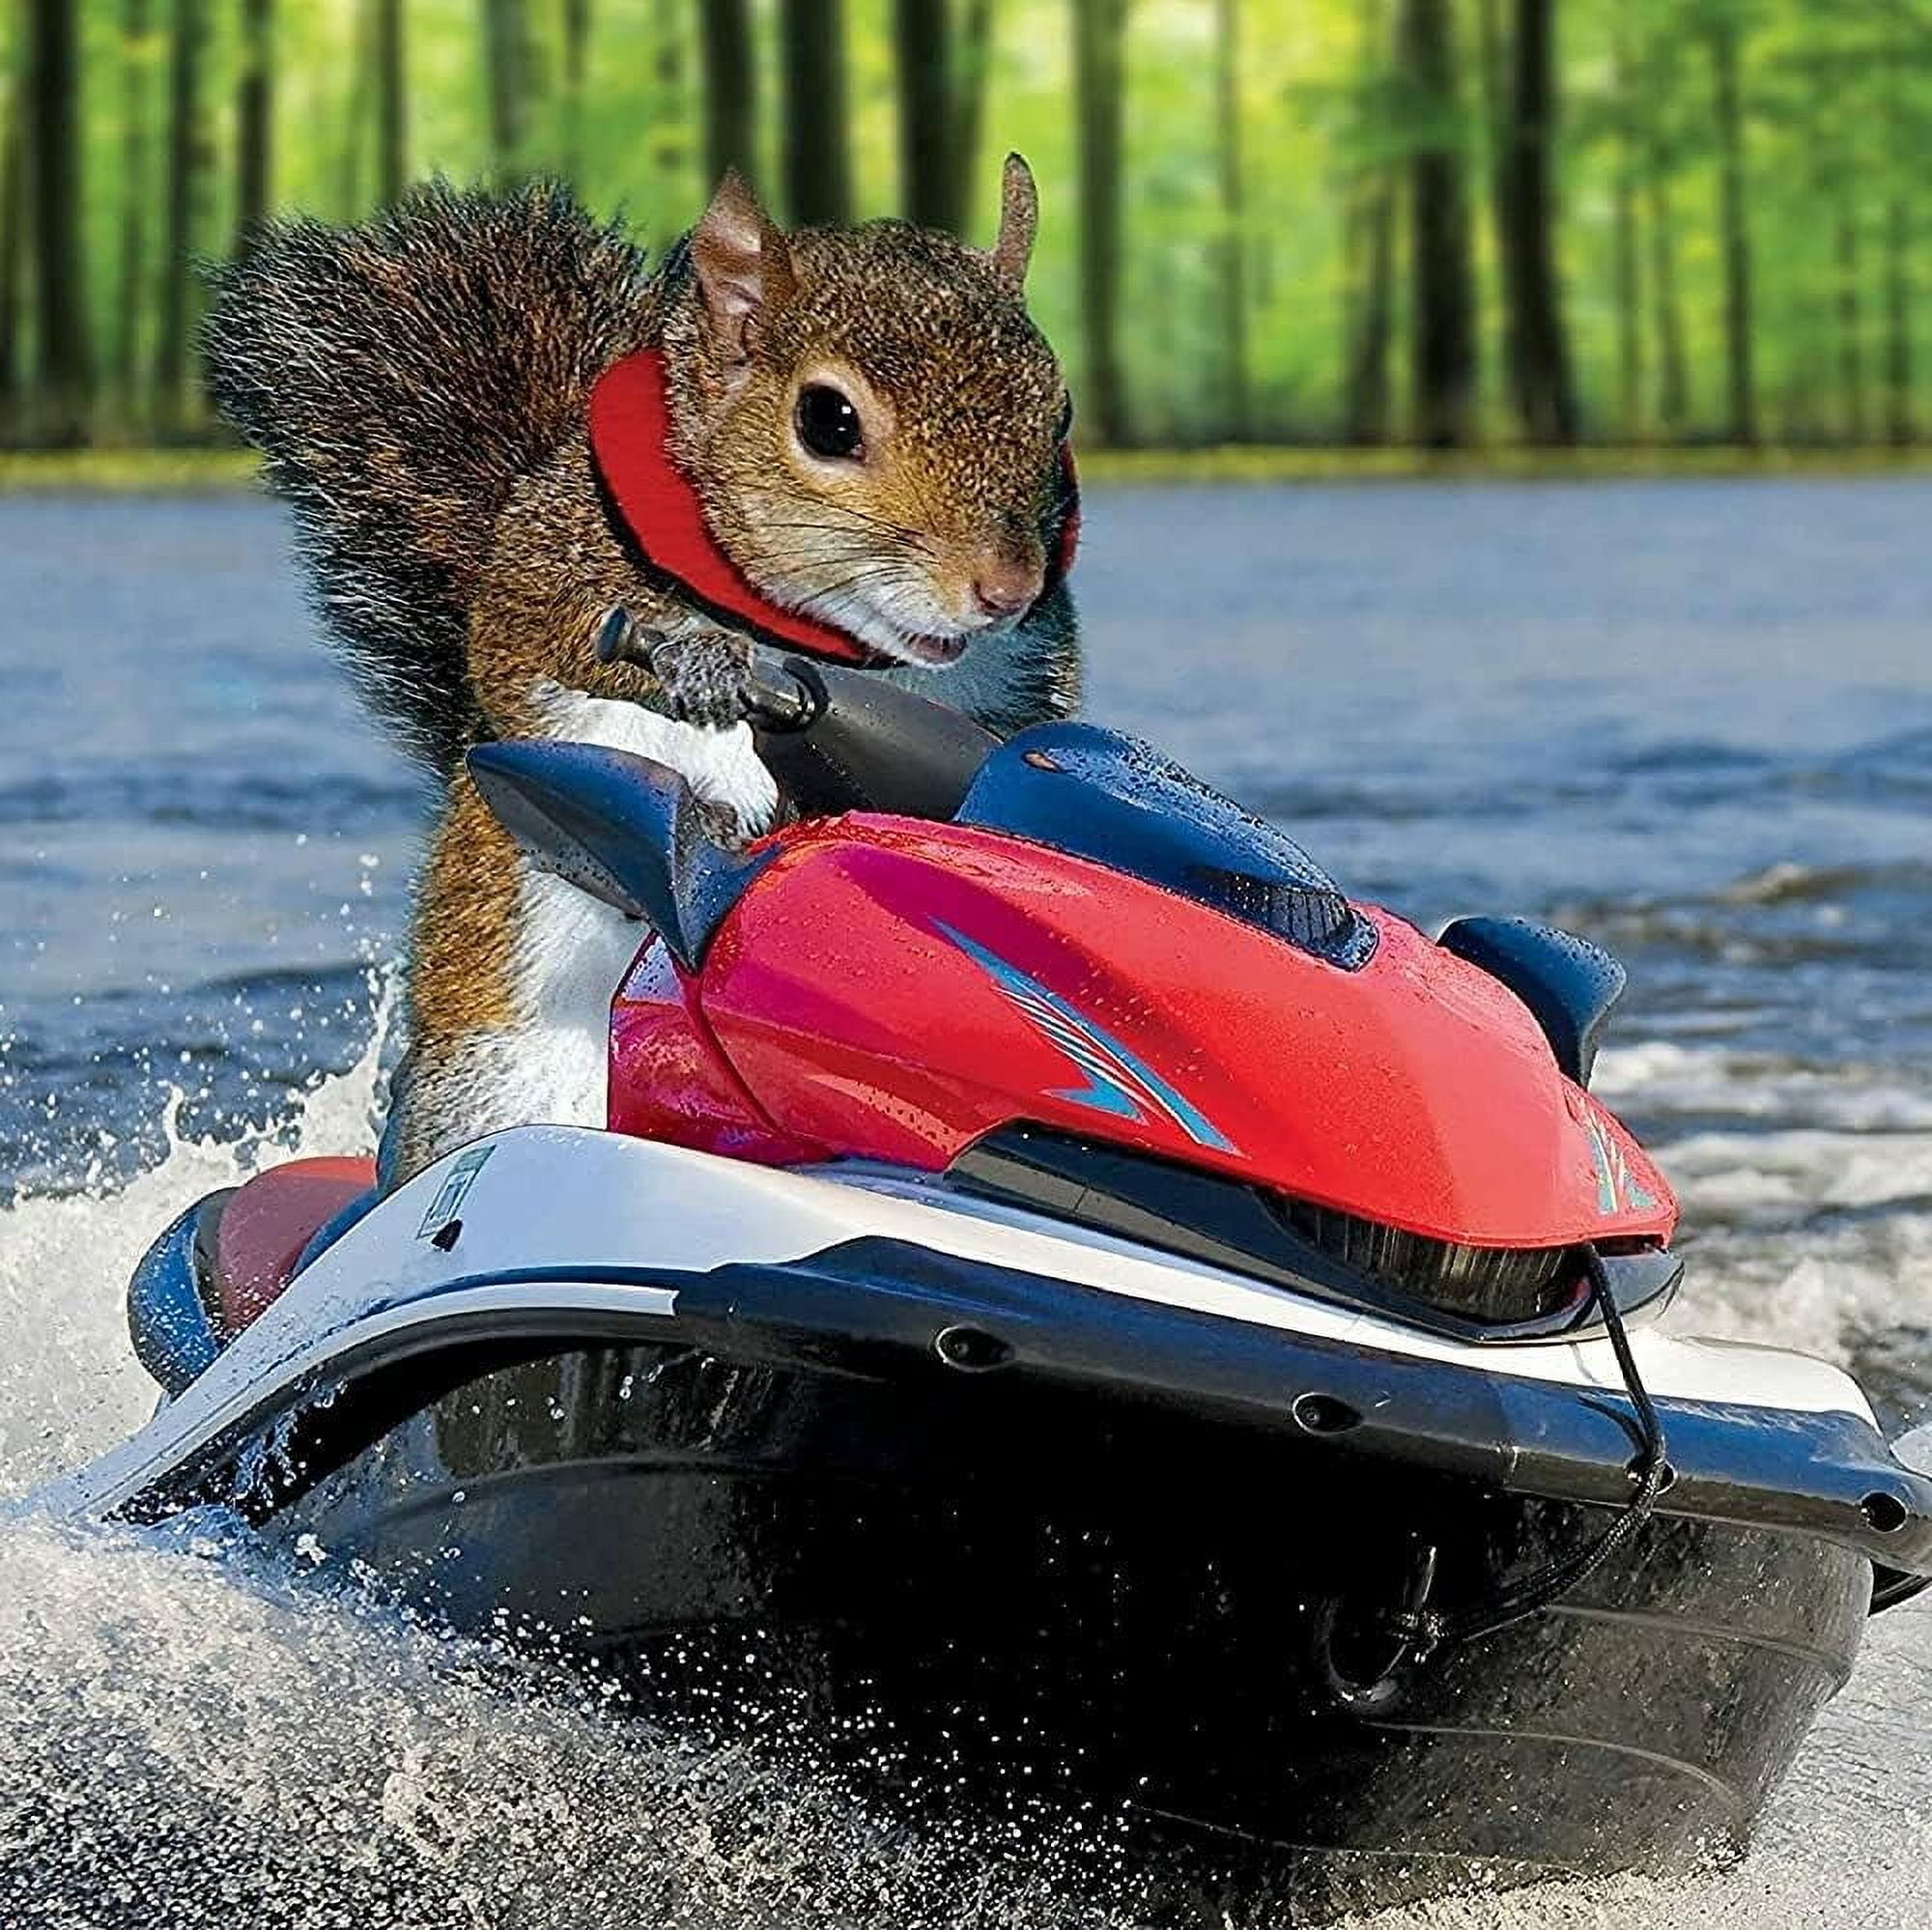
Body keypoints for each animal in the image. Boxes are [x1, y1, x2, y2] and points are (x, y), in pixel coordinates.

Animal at [202, 158, 1082, 1185]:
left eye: (1058, 410)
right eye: (828, 420)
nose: (1006, 588)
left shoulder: (1017, 676)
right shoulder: (546, 580)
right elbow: (535, 655)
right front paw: (698, 665)